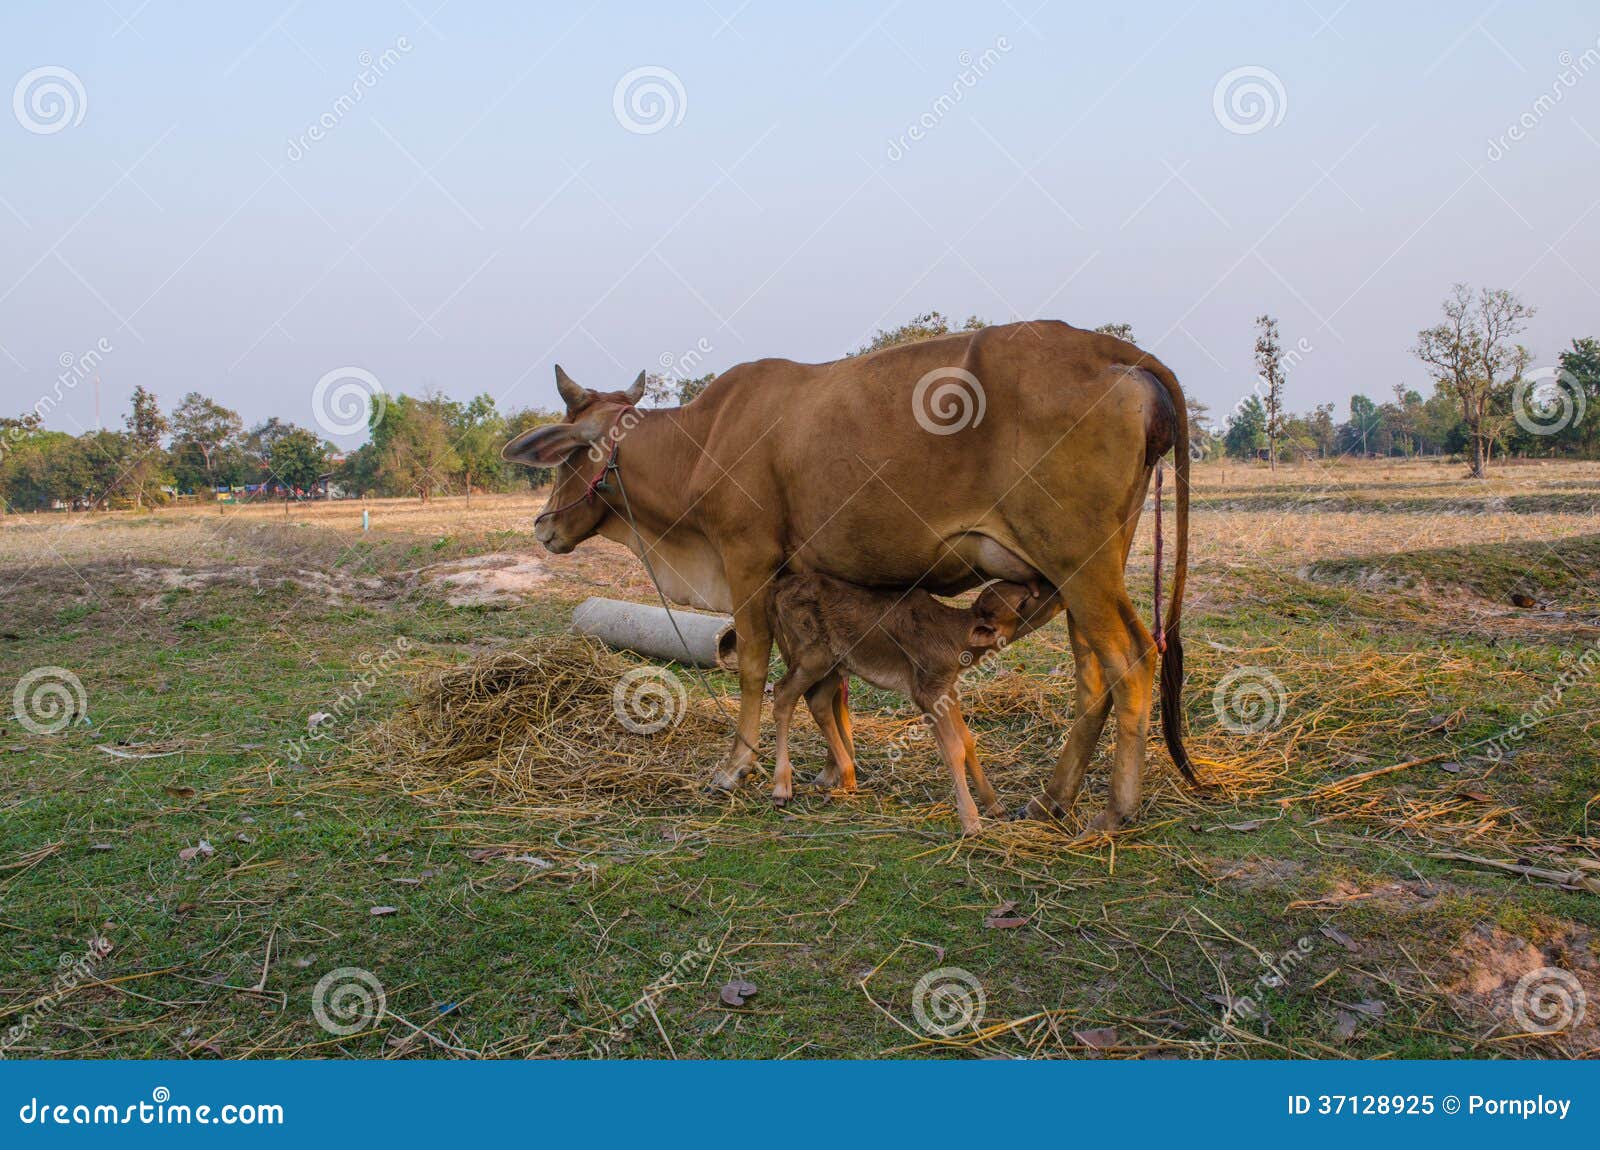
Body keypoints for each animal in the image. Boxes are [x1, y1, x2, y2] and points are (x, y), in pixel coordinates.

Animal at [503, 320, 1195, 832]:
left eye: (566, 456)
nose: (543, 525)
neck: (700, 441)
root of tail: (1114, 350)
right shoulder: (806, 579)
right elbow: (825, 688)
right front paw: (838, 772)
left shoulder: (748, 561)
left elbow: (754, 668)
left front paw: (736, 767)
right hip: (1082, 569)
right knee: (1093, 676)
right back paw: (1052, 799)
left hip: (1081, 565)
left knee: (1132, 660)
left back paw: (1114, 810)